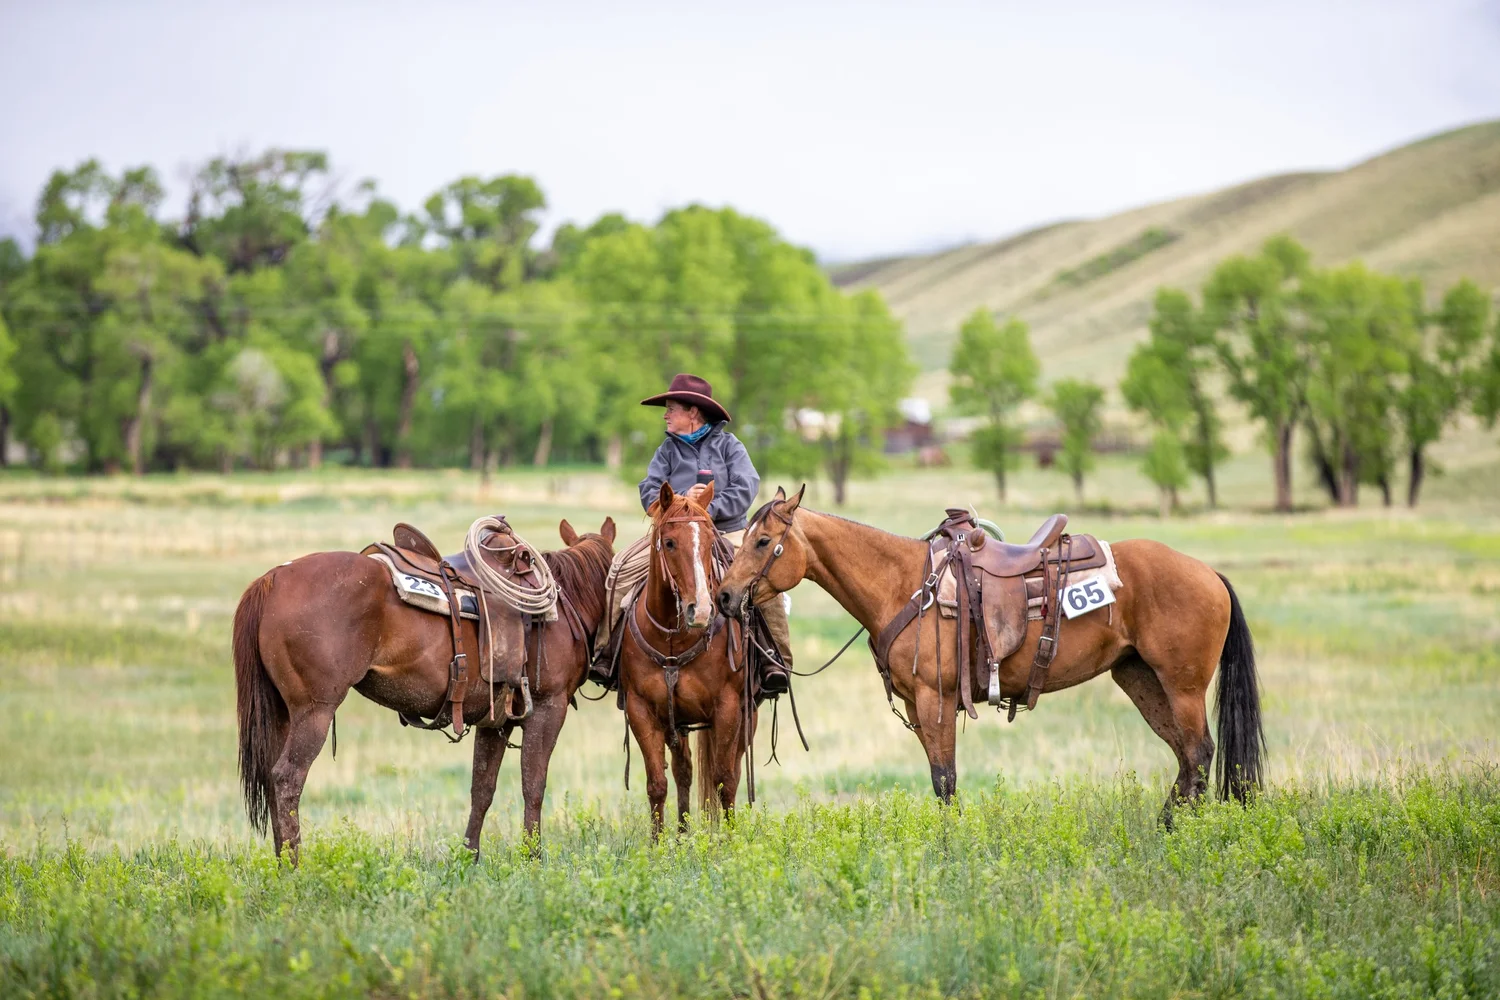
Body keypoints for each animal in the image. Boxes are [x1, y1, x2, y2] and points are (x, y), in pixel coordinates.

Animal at [232, 517, 616, 859]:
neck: (564, 607)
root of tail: (273, 578)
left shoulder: (495, 722)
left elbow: (482, 789)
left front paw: (469, 857)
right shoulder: (549, 710)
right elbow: (533, 786)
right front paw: (532, 858)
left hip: (282, 713)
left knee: (271, 779)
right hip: (315, 711)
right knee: (287, 779)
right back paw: (293, 867)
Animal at [618, 481, 758, 837]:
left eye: (709, 542)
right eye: (669, 543)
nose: (703, 610)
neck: (672, 638)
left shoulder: (727, 708)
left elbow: (724, 779)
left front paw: (729, 841)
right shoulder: (642, 711)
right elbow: (658, 784)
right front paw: (658, 845)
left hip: (747, 715)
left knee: (733, 770)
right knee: (684, 771)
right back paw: (682, 836)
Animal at [716, 487, 1264, 823]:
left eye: (762, 541)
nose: (724, 596)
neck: (903, 585)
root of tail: (1209, 574)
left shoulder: (935, 700)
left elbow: (945, 779)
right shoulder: (918, 705)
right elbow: (941, 780)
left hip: (1182, 685)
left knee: (1199, 752)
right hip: (1141, 680)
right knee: (1186, 759)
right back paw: (1165, 828)